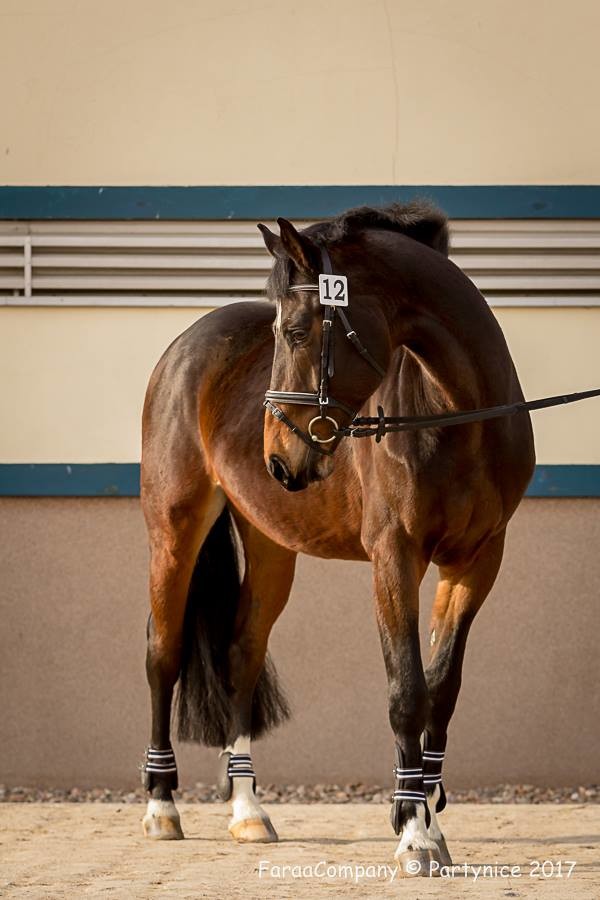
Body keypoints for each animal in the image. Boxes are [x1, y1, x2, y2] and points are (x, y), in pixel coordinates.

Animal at [139, 200, 535, 875]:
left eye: (298, 331)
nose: (277, 457)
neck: (458, 414)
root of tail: (182, 349)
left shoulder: (478, 561)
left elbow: (441, 688)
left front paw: (428, 813)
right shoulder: (395, 556)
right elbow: (407, 690)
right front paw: (414, 832)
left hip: (271, 544)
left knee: (241, 655)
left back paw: (247, 811)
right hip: (174, 530)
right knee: (163, 655)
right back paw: (162, 806)